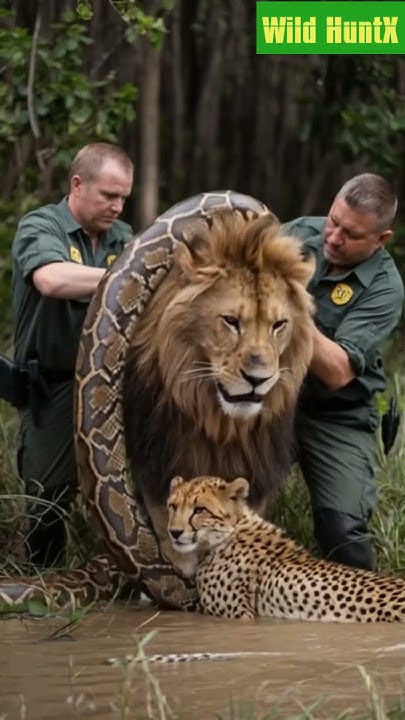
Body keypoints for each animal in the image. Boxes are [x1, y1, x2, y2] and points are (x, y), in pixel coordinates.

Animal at [122, 209, 315, 576]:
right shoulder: (156, 463)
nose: (258, 378)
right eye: (230, 321)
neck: (222, 427)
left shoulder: (256, 473)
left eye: (278, 325)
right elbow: (168, 526)